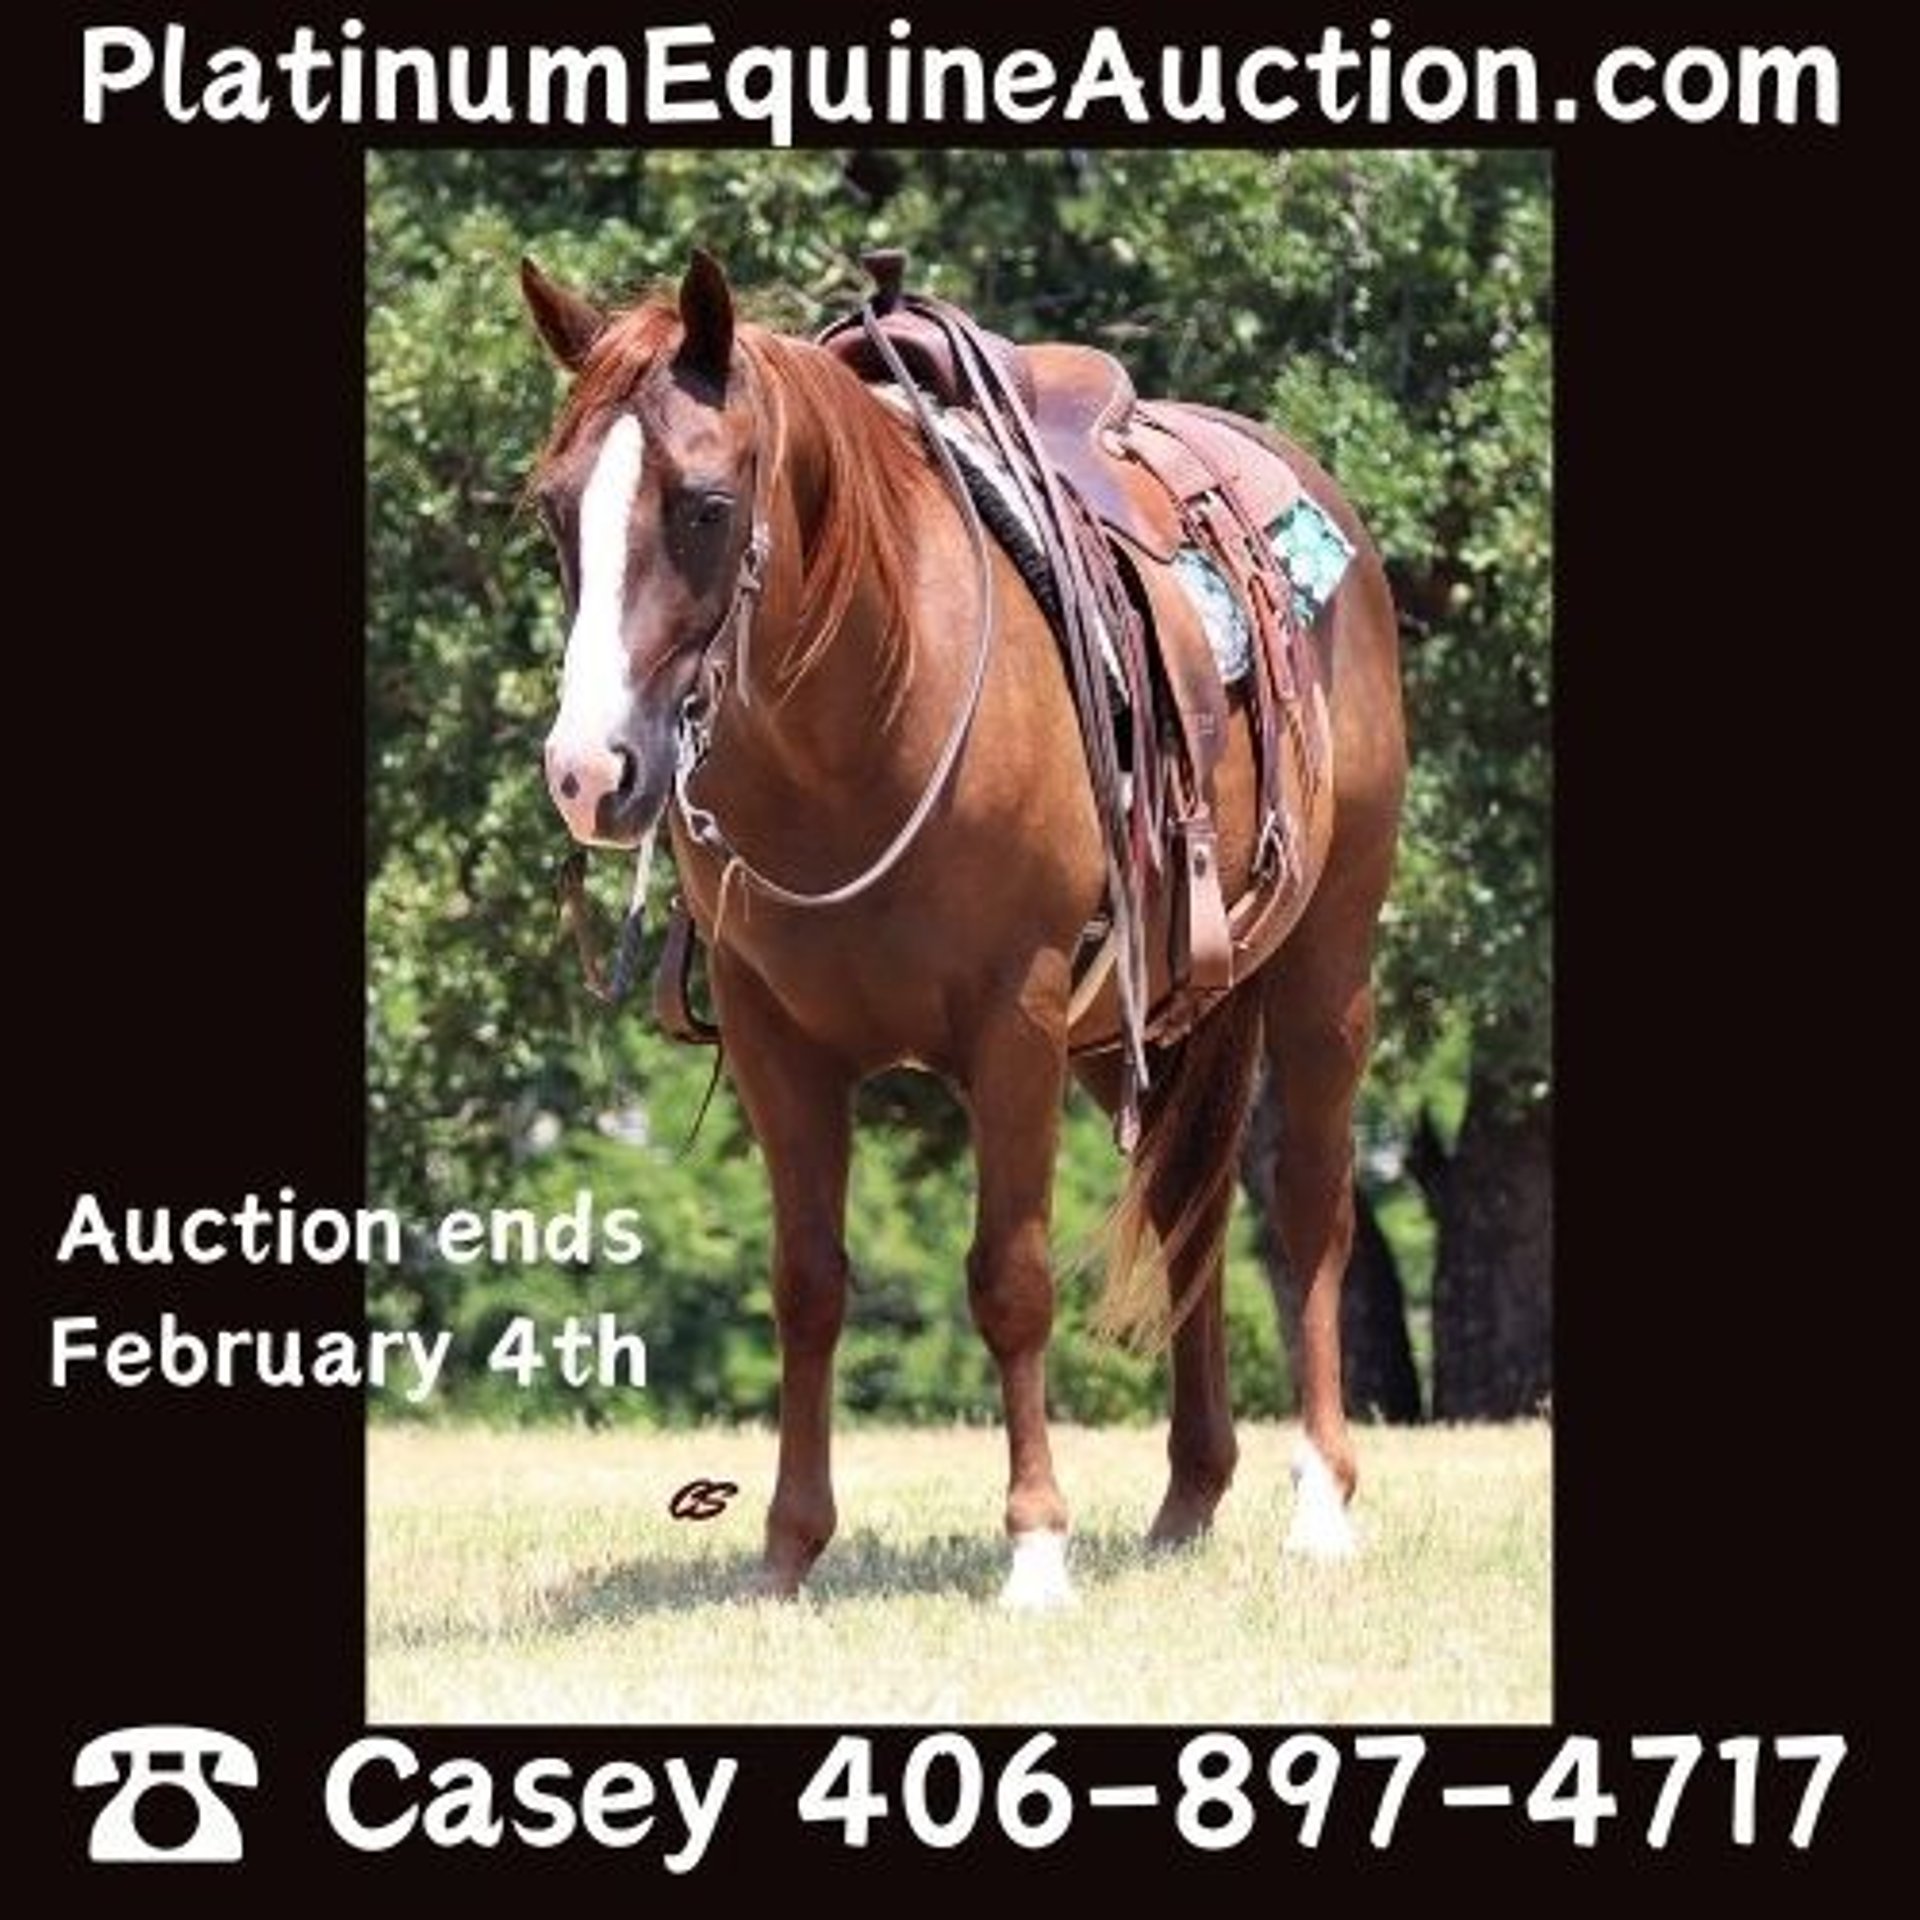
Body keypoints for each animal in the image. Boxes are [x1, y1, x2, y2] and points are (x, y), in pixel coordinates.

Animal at [519, 248, 1406, 1605]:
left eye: (706, 507)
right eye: (553, 511)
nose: (587, 773)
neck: (866, 720)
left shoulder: (1015, 1025)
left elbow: (1011, 1280)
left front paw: (1035, 1547)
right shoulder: (778, 1043)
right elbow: (807, 1282)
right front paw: (786, 1552)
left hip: (1325, 971)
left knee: (1310, 1208)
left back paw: (1321, 1503)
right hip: (1141, 1028)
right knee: (1188, 1216)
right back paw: (1188, 1500)